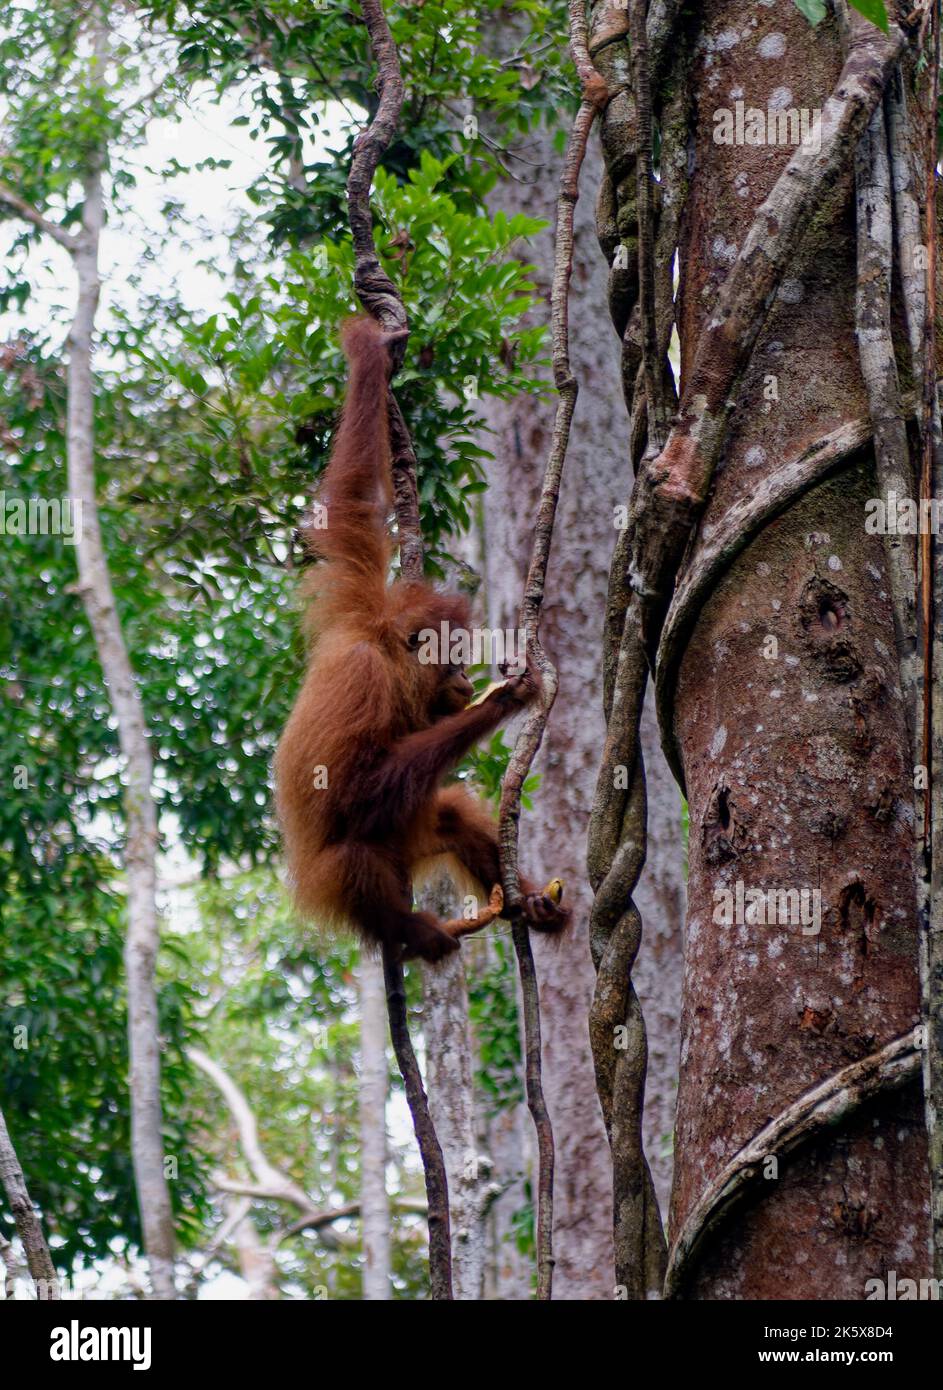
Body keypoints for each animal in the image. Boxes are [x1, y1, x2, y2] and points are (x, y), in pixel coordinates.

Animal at [275, 316, 568, 963]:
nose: (462, 679)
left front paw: (370, 357)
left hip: (418, 839)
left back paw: (533, 902)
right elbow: (355, 790)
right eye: (453, 658)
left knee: (452, 813)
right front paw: (507, 700)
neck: (388, 652)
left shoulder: (357, 599)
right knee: (354, 853)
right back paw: (411, 931)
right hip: (334, 880)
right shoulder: (361, 674)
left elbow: (353, 501)